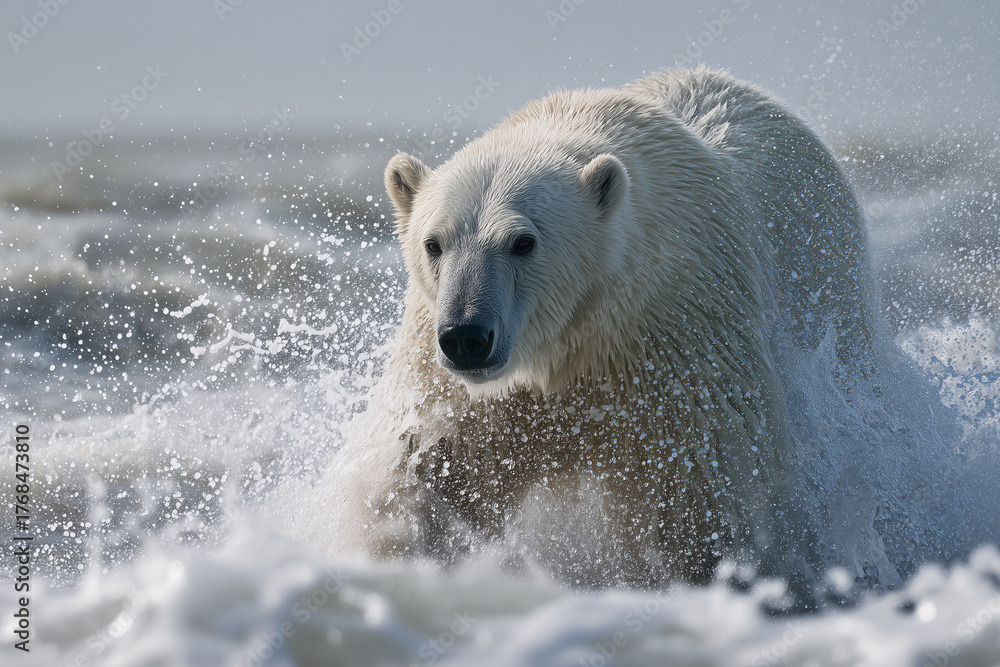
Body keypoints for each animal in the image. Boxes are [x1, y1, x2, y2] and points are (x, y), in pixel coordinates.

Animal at [329, 66, 878, 588]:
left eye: (523, 242)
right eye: (434, 243)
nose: (468, 337)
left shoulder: (674, 345)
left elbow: (703, 495)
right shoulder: (454, 380)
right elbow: (425, 468)